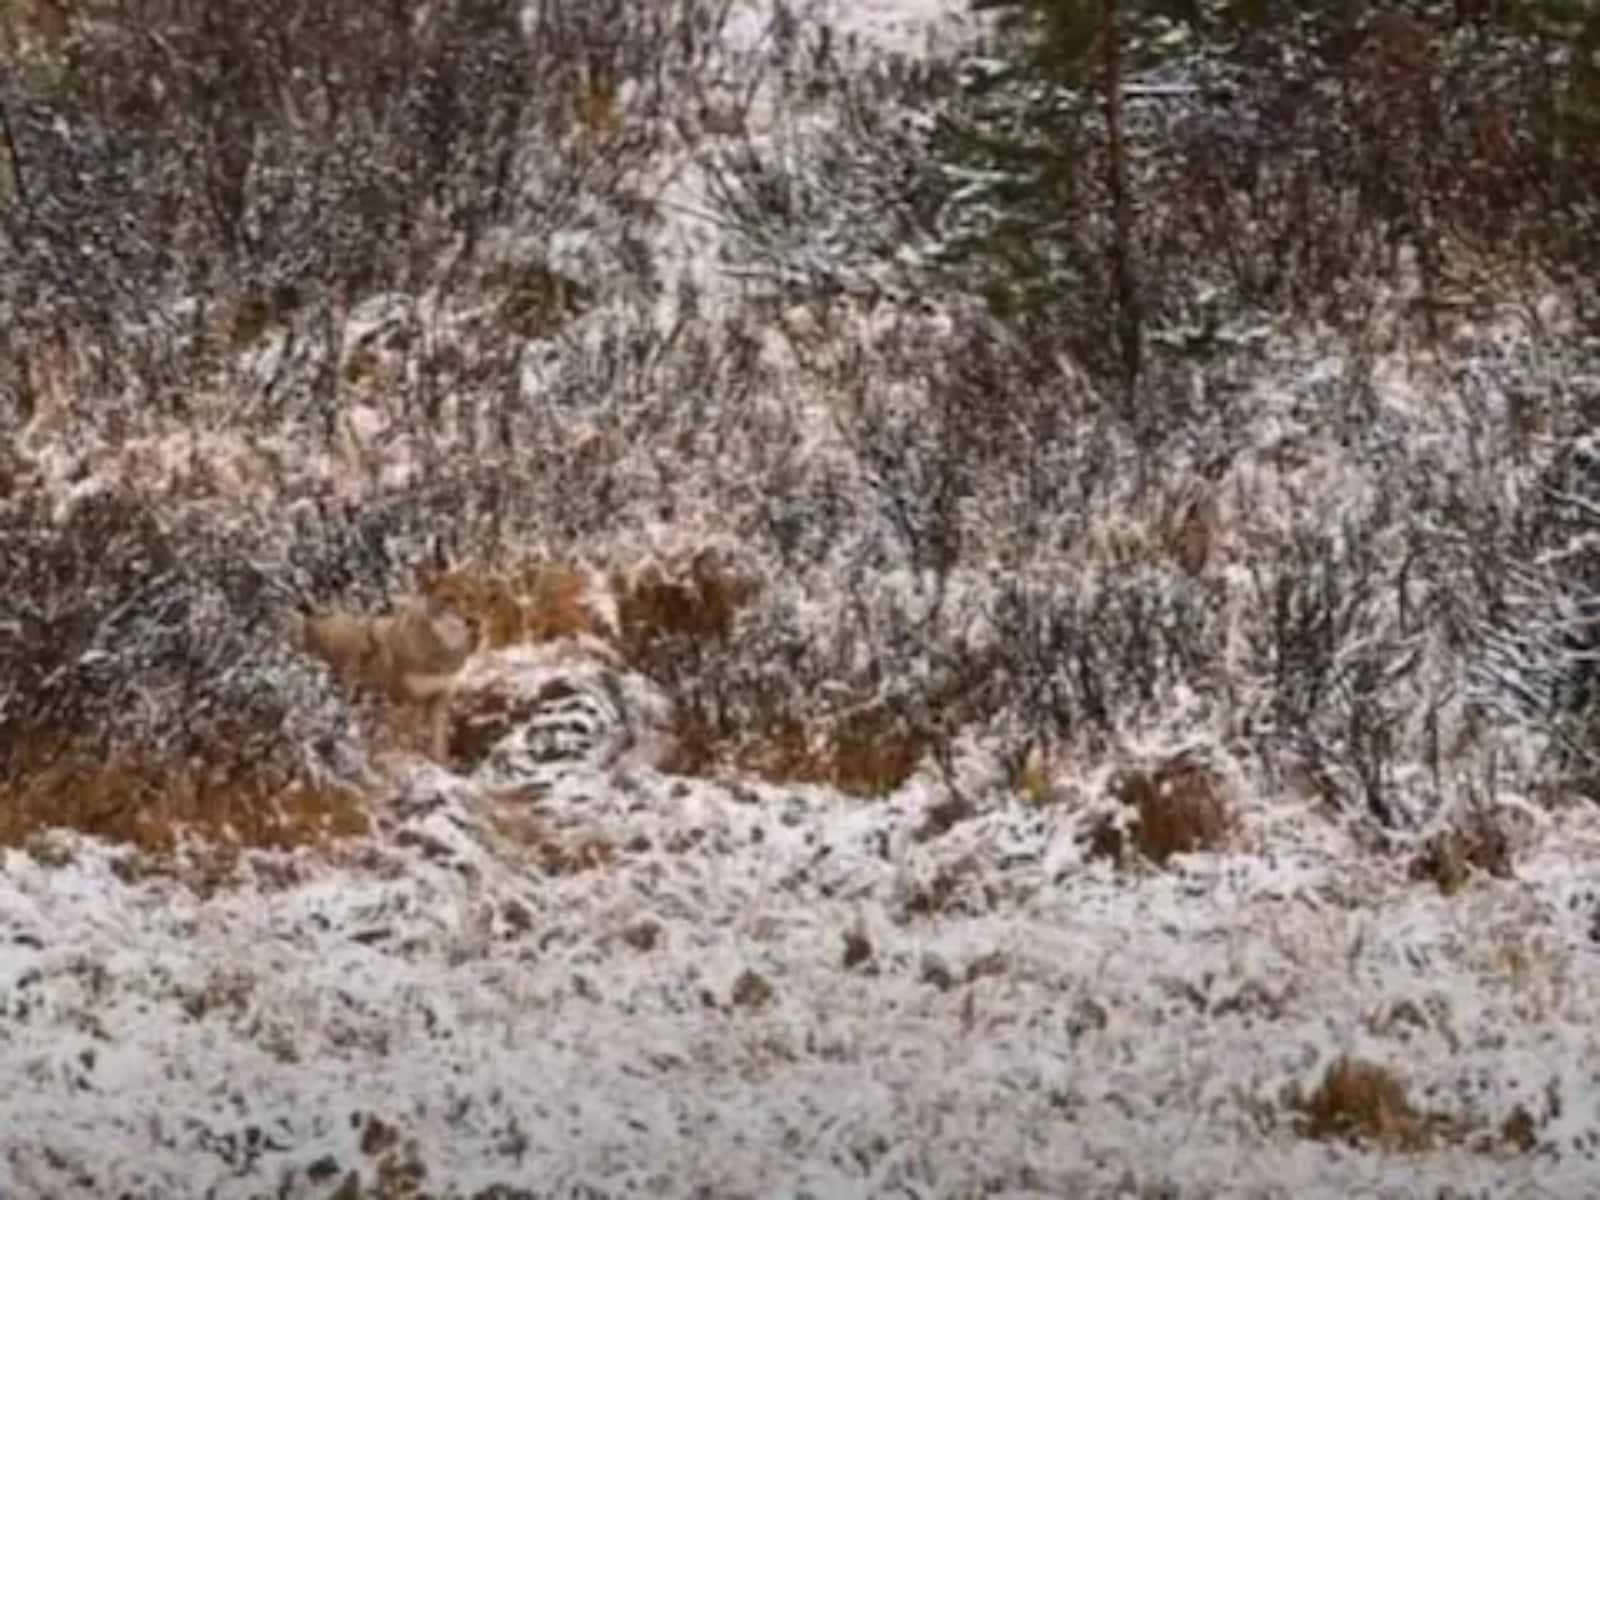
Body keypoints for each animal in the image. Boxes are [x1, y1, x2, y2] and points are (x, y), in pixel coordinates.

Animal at [293, 595, 476, 763]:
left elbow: (437, 743)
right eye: (452, 603)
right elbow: (411, 734)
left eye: (470, 600)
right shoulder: (411, 699)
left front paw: (438, 761)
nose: (472, 621)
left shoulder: (438, 698)